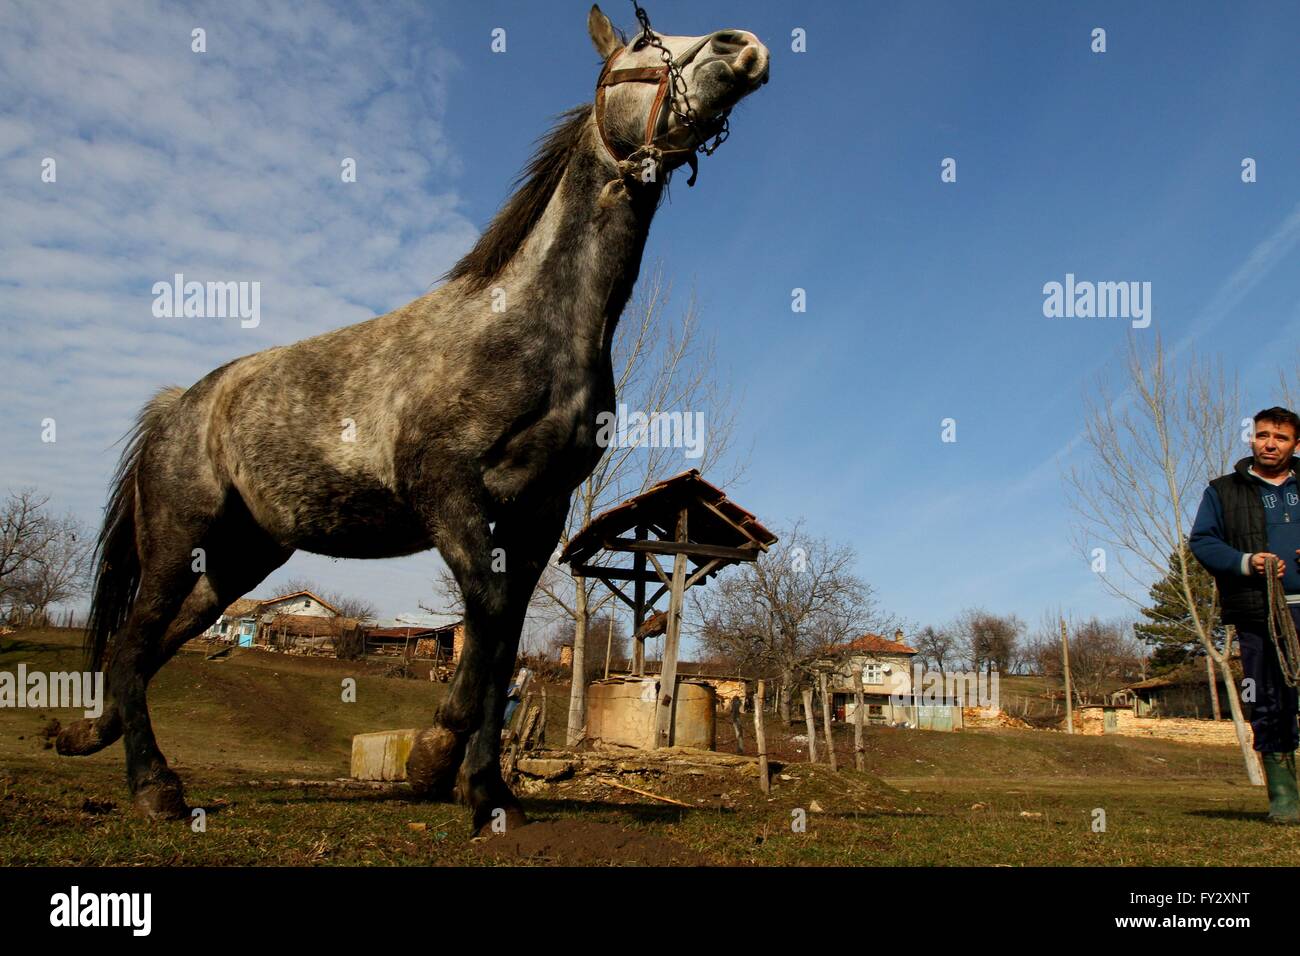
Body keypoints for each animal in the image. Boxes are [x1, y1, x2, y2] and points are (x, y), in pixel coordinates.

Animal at [58, 4, 770, 833]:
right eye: (642, 48)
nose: (743, 47)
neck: (527, 328)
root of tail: (181, 405)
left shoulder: (537, 512)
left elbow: (505, 638)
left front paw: (489, 793)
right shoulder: (446, 491)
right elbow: (486, 616)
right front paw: (433, 758)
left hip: (237, 562)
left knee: (153, 648)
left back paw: (87, 736)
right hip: (178, 544)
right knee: (133, 645)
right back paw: (154, 787)